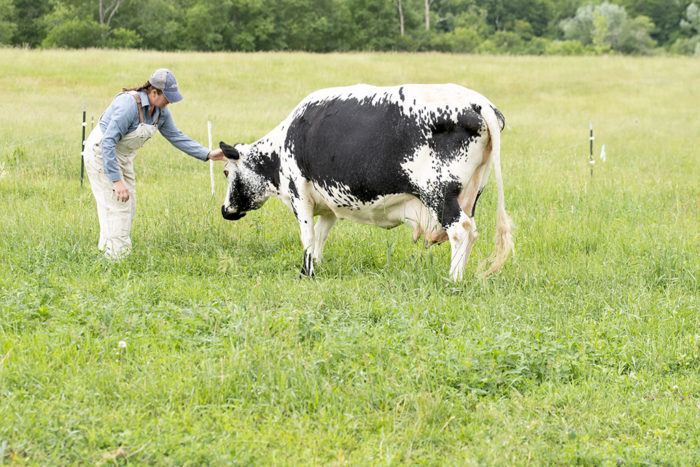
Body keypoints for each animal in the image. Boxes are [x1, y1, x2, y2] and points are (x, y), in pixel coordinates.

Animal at [220, 84, 513, 281]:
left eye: (225, 171)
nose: (225, 210)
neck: (285, 142)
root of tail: (478, 103)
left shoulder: (299, 193)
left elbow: (307, 235)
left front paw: (306, 273)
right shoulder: (329, 204)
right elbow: (321, 235)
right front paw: (317, 266)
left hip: (438, 193)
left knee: (460, 230)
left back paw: (453, 279)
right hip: (471, 193)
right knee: (470, 231)